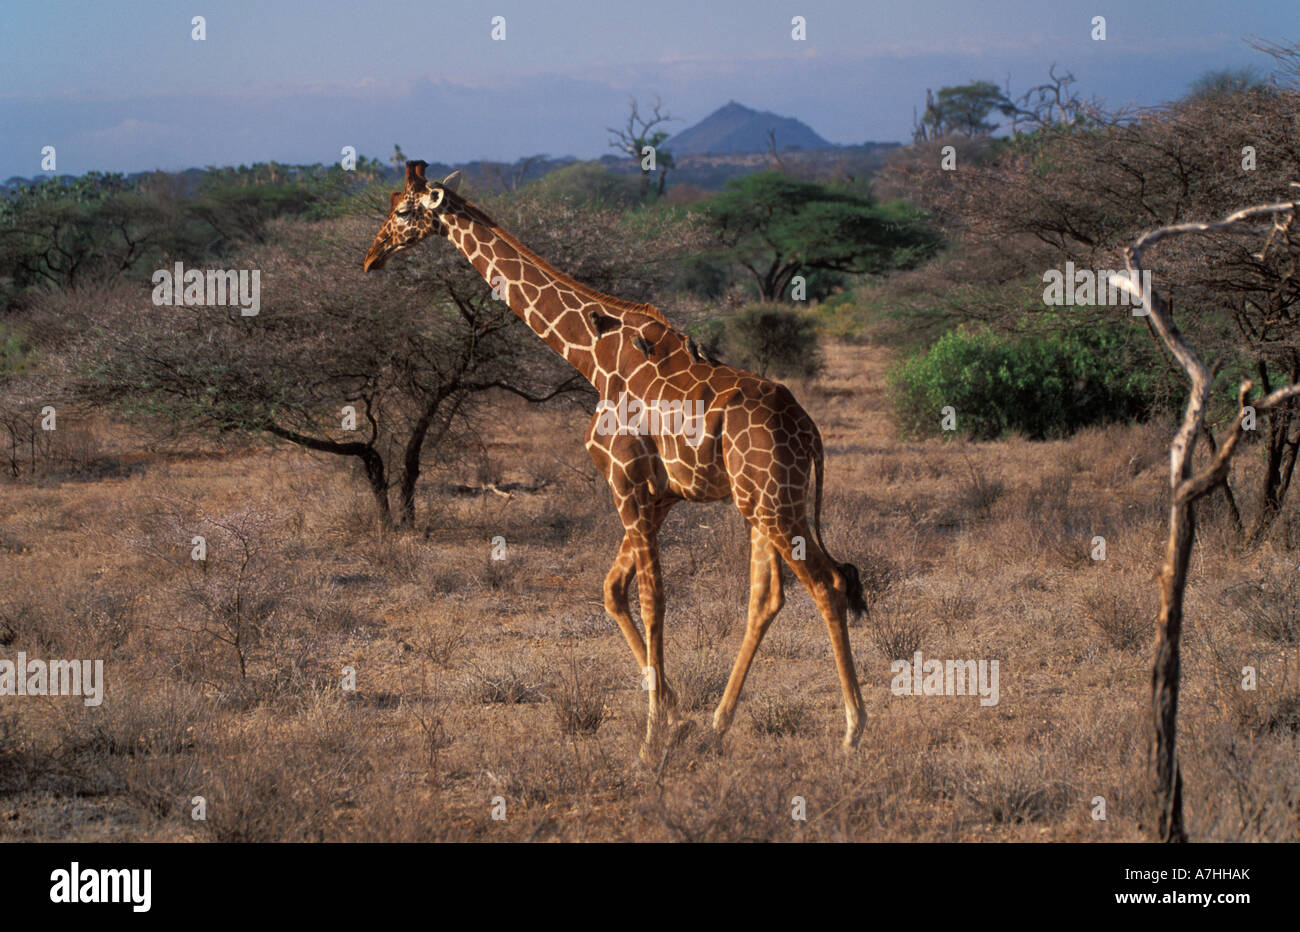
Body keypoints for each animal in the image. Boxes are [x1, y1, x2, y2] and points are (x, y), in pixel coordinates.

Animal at [364, 161, 866, 757]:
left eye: (402, 210)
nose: (371, 257)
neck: (591, 357)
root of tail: (810, 432)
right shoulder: (660, 494)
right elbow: (613, 590)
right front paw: (675, 714)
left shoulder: (625, 479)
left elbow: (651, 597)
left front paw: (652, 737)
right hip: (758, 501)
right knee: (767, 598)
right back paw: (719, 723)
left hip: (774, 500)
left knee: (828, 583)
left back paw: (853, 730)